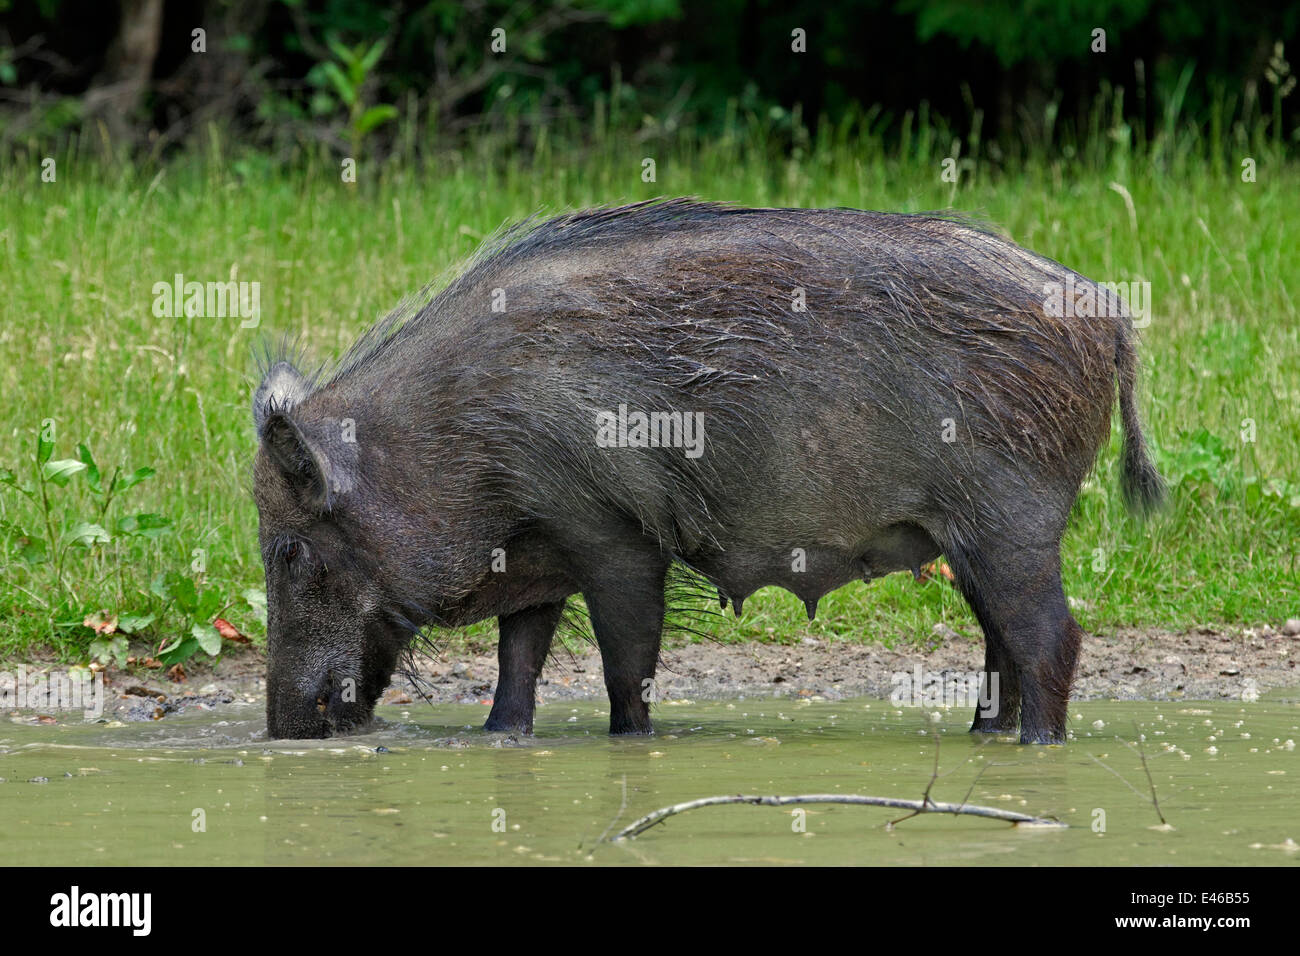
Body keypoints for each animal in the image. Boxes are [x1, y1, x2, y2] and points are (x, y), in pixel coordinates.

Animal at [252, 199, 1163, 744]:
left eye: (290, 553)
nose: (282, 727)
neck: (462, 436)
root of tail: (1109, 315)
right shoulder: (538, 548)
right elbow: (521, 655)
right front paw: (501, 738)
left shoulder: (614, 534)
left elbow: (627, 659)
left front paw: (631, 744)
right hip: (971, 538)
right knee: (1001, 641)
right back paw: (985, 739)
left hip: (1012, 517)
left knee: (1051, 637)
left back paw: (1037, 747)